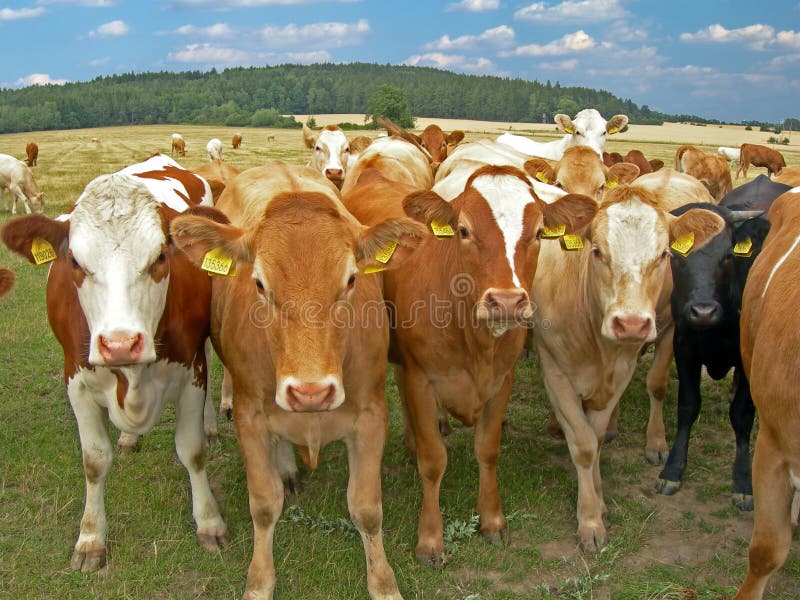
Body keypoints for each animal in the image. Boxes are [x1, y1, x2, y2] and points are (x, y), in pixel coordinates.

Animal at [0, 153, 226, 573]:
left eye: (160, 257)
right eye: (74, 260)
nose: (120, 345)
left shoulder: (191, 373)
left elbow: (192, 450)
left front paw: (209, 521)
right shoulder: (75, 380)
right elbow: (93, 460)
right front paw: (91, 537)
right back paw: (128, 438)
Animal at [169, 161, 426, 599]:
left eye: (352, 280)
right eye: (259, 283)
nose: (311, 393)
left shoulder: (373, 414)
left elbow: (367, 508)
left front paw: (383, 583)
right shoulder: (251, 417)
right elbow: (263, 504)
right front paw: (259, 582)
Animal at [346, 162, 598, 567]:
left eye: (538, 233)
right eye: (464, 230)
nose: (507, 301)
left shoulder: (503, 379)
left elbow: (488, 449)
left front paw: (492, 520)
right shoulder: (420, 378)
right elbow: (434, 461)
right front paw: (430, 539)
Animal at [530, 183, 724, 551]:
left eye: (664, 255)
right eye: (597, 251)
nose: (631, 323)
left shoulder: (623, 369)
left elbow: (596, 437)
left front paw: (599, 502)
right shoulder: (554, 371)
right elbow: (583, 444)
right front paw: (590, 521)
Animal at [655, 203, 768, 510]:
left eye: (728, 255)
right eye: (676, 256)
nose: (703, 311)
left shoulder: (748, 355)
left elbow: (742, 414)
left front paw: (743, 480)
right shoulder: (684, 346)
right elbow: (688, 405)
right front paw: (673, 469)